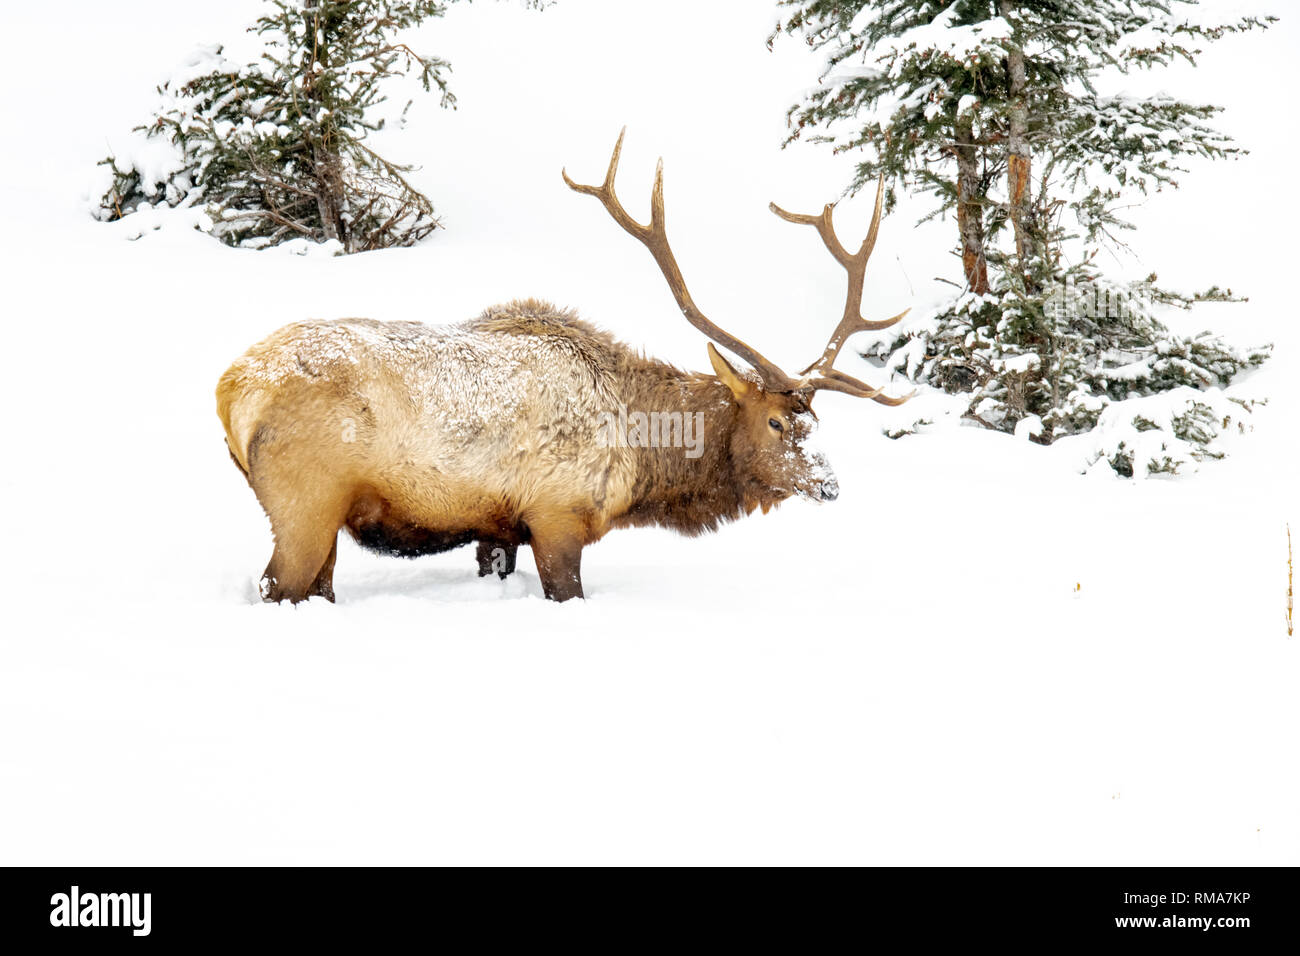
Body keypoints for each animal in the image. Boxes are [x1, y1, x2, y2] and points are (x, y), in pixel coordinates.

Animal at [215, 129, 911, 603]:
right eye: (775, 421)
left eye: (816, 421)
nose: (829, 484)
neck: (643, 457)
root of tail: (231, 388)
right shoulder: (557, 515)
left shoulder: (497, 527)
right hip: (305, 503)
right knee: (277, 586)